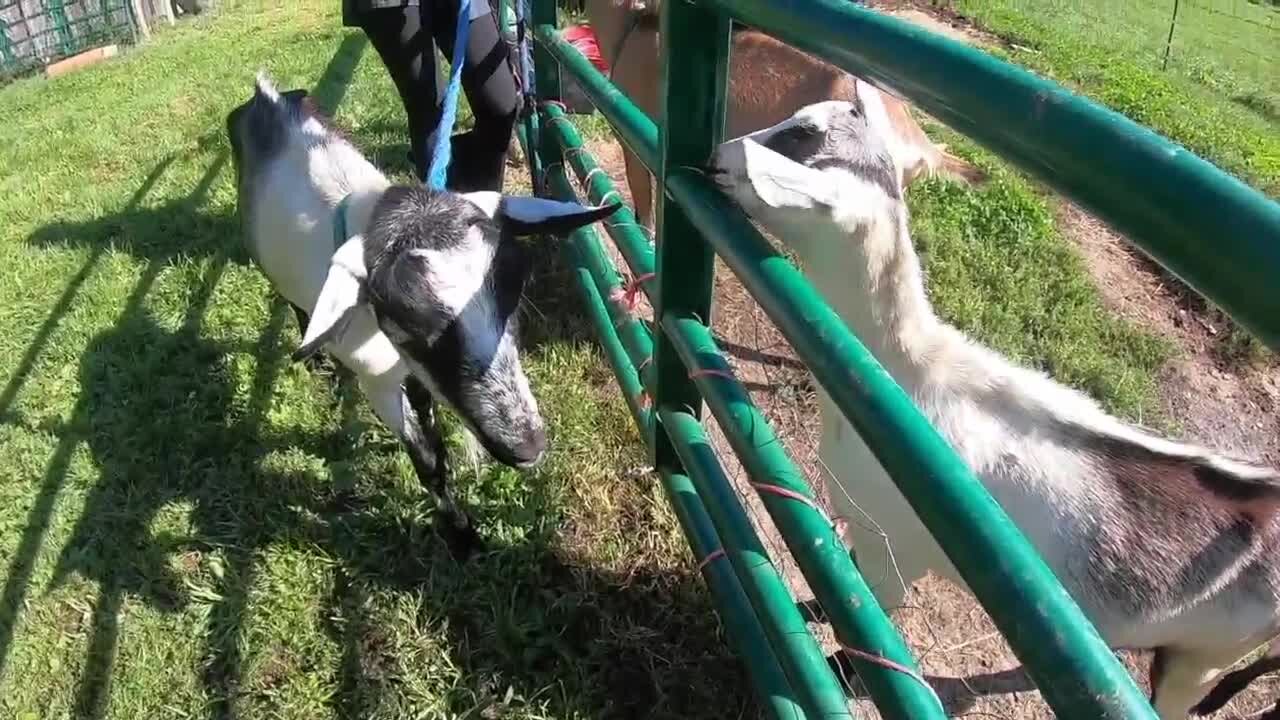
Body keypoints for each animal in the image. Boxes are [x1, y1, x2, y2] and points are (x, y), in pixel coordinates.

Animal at [226, 71, 620, 556]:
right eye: (410, 323)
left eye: (513, 293)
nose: (528, 446)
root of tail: (264, 96)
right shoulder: (378, 381)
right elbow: (429, 457)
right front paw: (463, 536)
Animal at [707, 99, 1280, 719]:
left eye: (801, 137)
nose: (716, 156)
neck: (904, 374)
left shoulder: (898, 546)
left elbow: (871, 620)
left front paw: (840, 667)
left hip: (1209, 653)